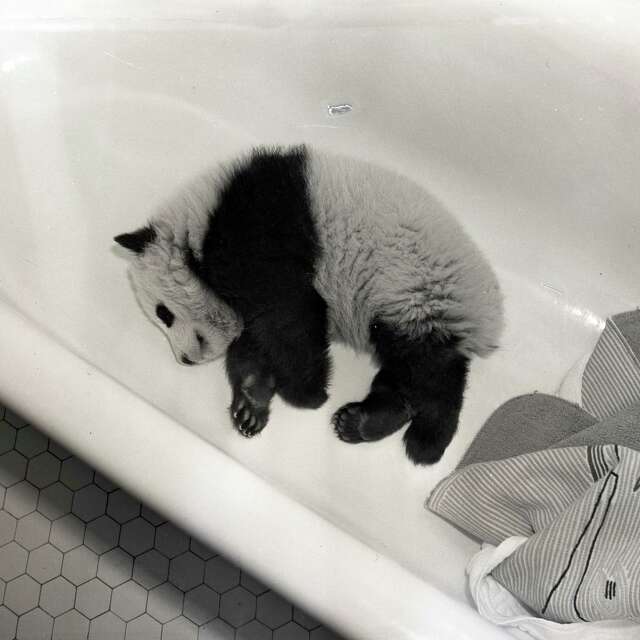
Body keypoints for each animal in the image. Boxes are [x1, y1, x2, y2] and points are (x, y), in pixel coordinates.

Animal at [114, 145, 503, 464]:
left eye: (163, 314)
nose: (184, 359)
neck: (199, 226)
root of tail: (488, 318)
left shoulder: (256, 234)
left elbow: (289, 317)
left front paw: (308, 394)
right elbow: (256, 342)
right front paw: (251, 402)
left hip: (416, 289)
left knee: (431, 370)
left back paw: (426, 440)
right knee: (406, 372)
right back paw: (365, 421)